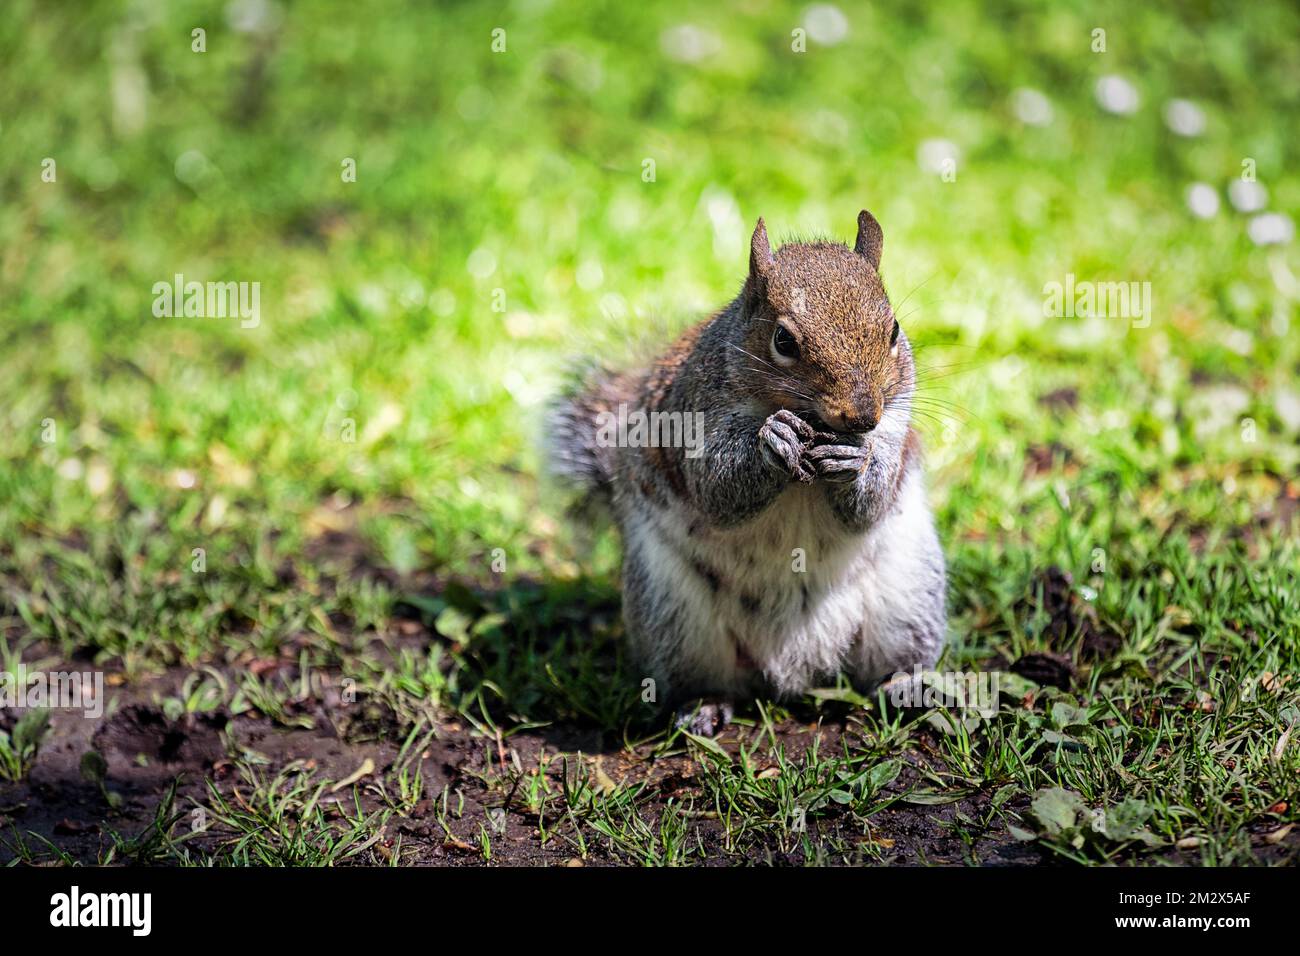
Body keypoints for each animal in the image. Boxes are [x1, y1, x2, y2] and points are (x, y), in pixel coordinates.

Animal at [547, 210, 946, 734]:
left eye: (895, 330)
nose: (863, 417)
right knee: (700, 674)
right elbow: (716, 491)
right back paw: (702, 705)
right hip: (672, 612)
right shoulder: (693, 418)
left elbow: (871, 505)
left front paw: (853, 463)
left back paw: (904, 686)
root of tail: (794, 667)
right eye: (783, 340)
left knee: (892, 659)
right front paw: (771, 443)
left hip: (909, 596)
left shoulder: (895, 423)